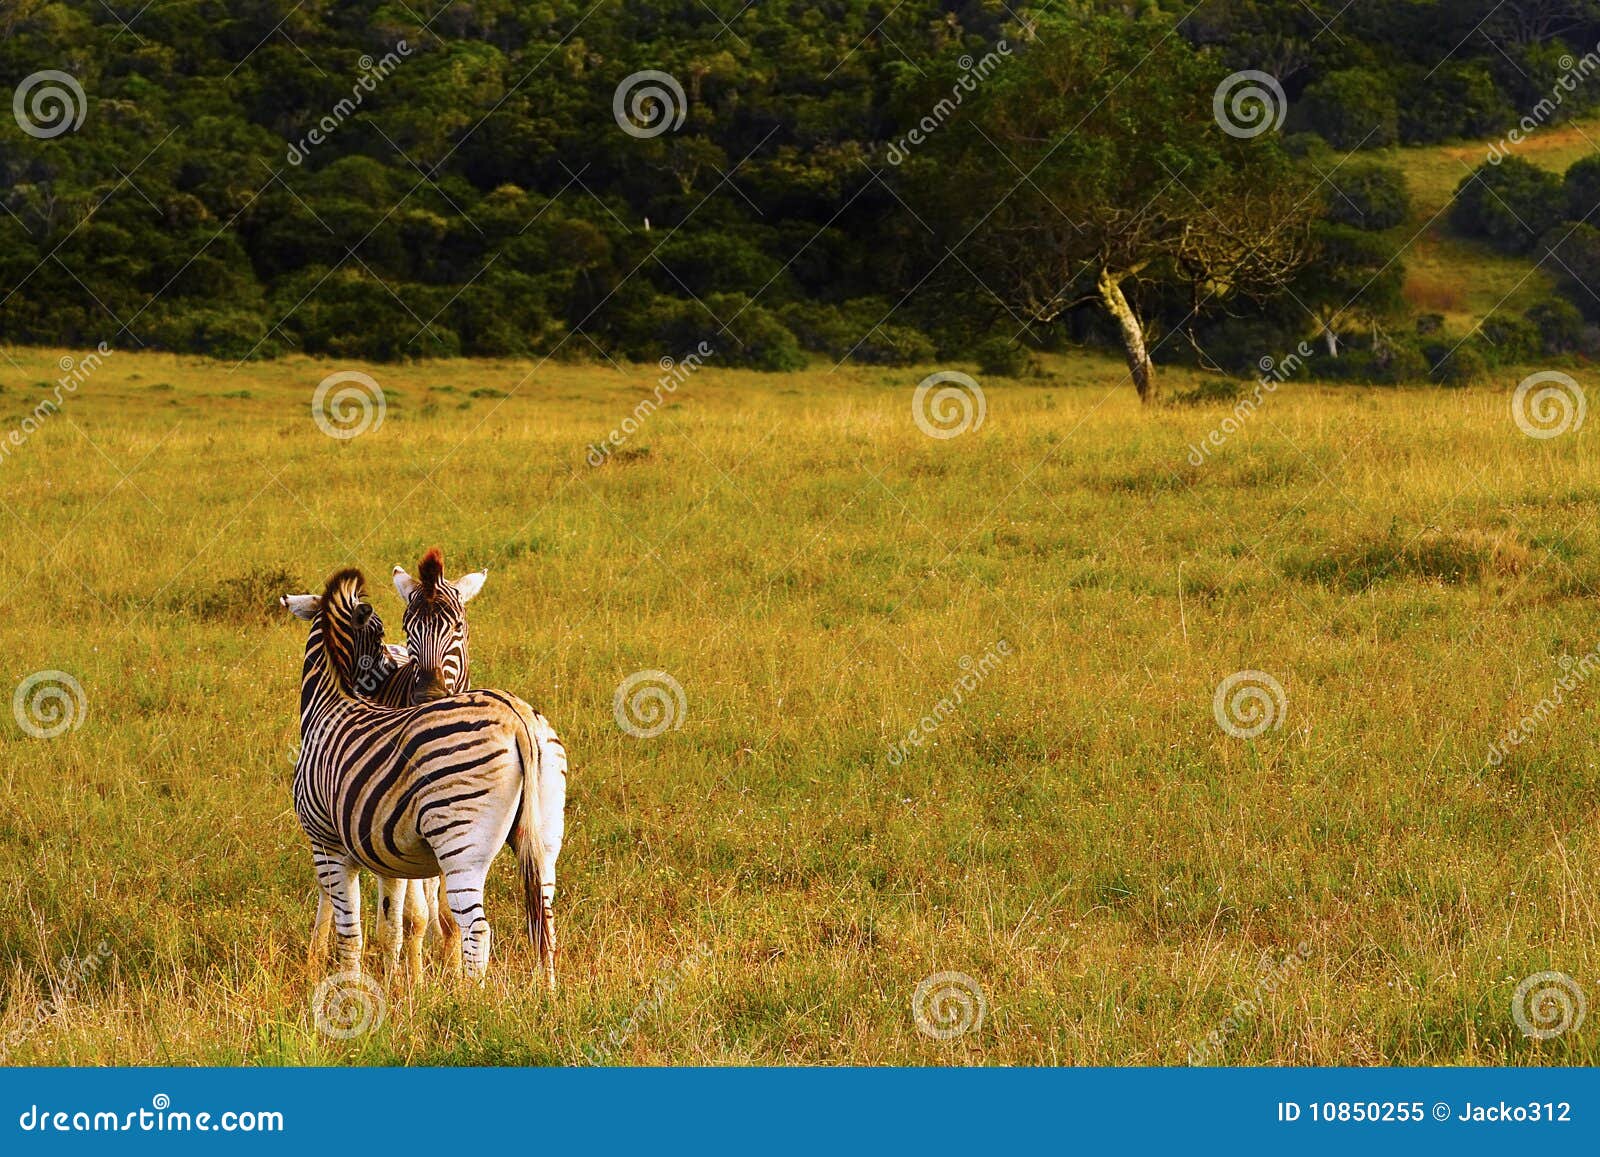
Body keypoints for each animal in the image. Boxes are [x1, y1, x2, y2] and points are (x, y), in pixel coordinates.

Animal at [283, 567, 565, 985]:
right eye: (386, 633)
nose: (392, 676)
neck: (330, 700)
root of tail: (517, 719)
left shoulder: (327, 842)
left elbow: (352, 932)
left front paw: (350, 987)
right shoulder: (383, 852)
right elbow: (391, 924)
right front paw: (398, 983)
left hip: (460, 844)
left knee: (477, 928)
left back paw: (470, 995)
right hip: (545, 833)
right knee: (543, 921)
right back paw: (546, 991)